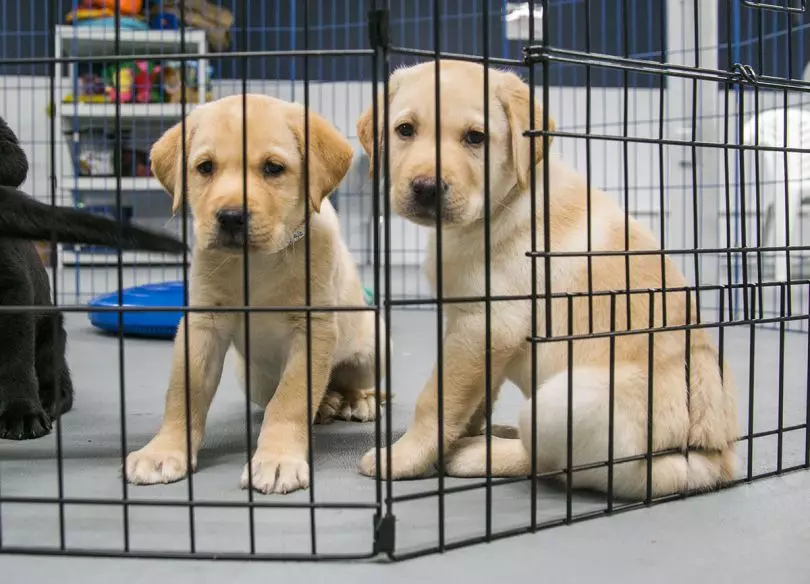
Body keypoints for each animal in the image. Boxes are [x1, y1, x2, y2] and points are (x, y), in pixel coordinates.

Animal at [0, 116, 186, 440]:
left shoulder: (14, 291)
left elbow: (15, 360)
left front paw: (21, 415)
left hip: (52, 330)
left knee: (58, 382)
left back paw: (48, 401)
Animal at [125, 94, 386, 492]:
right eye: (205, 167)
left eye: (273, 168)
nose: (231, 217)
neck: (256, 263)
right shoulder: (202, 323)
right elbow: (183, 392)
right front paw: (164, 450)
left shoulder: (311, 329)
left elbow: (290, 399)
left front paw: (278, 459)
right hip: (253, 380)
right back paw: (327, 404)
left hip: (374, 347)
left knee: (350, 381)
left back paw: (359, 401)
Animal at [356, 61, 736, 500]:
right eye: (405, 130)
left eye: (475, 138)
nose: (426, 189)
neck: (501, 206)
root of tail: (714, 460)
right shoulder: (478, 335)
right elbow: (476, 397)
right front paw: (461, 433)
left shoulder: (487, 324)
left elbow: (436, 399)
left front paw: (404, 457)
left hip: (562, 401)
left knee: (556, 465)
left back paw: (481, 453)